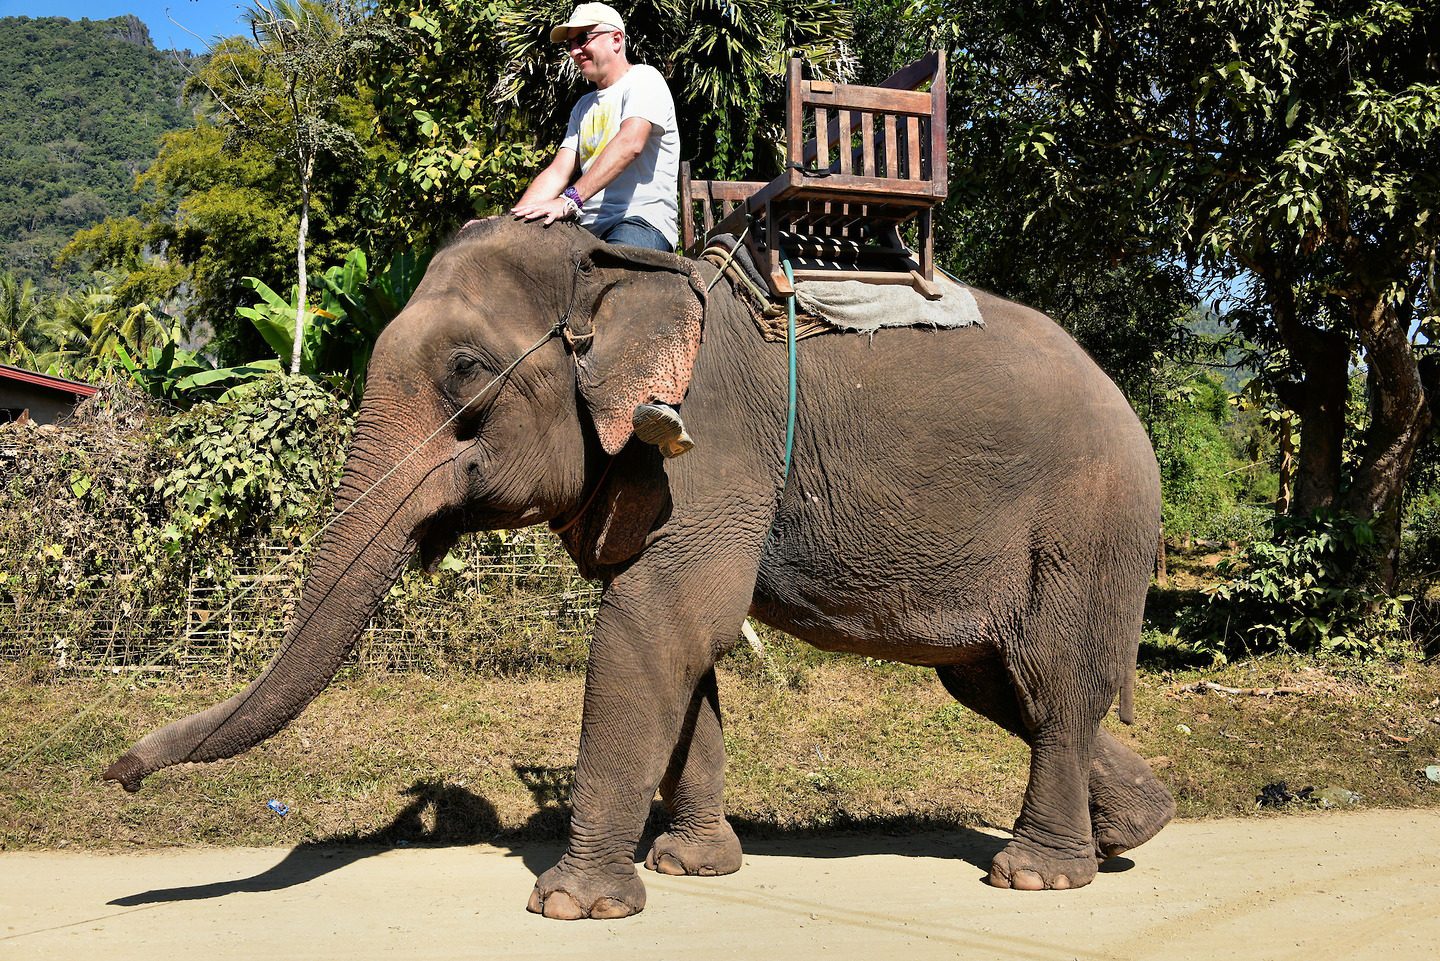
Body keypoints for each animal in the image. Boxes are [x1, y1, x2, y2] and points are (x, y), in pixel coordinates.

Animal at [105, 216, 1174, 919]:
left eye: (466, 375)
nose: (118, 771)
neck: (615, 269)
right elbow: (689, 651)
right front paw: (691, 867)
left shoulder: (709, 442)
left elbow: (661, 619)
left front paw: (574, 906)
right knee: (998, 684)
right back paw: (1136, 831)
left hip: (1087, 525)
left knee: (1051, 677)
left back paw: (1039, 876)